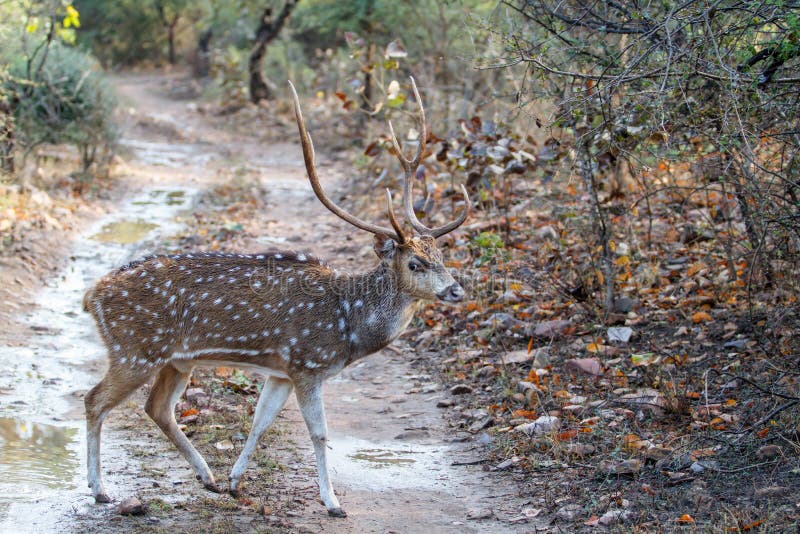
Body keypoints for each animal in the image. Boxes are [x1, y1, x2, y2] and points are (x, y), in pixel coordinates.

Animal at [82, 77, 469, 518]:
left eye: (442, 255)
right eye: (415, 264)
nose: (456, 289)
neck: (347, 324)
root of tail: (91, 296)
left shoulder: (281, 372)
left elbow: (260, 423)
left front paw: (235, 483)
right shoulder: (307, 364)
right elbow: (319, 433)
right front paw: (332, 501)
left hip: (176, 360)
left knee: (156, 407)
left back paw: (208, 477)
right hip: (134, 350)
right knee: (94, 401)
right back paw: (100, 489)